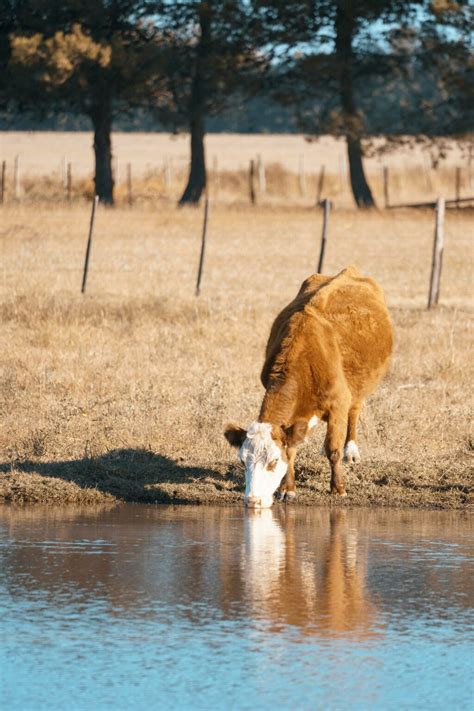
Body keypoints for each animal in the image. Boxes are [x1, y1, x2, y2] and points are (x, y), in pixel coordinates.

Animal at [225, 266, 393, 508]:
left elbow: (334, 448)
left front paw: (338, 488)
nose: (253, 501)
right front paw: (287, 489)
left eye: (273, 461)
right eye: (242, 461)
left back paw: (350, 450)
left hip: (359, 387)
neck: (305, 358)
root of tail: (349, 270)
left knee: (353, 413)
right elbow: (292, 450)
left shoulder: (338, 402)